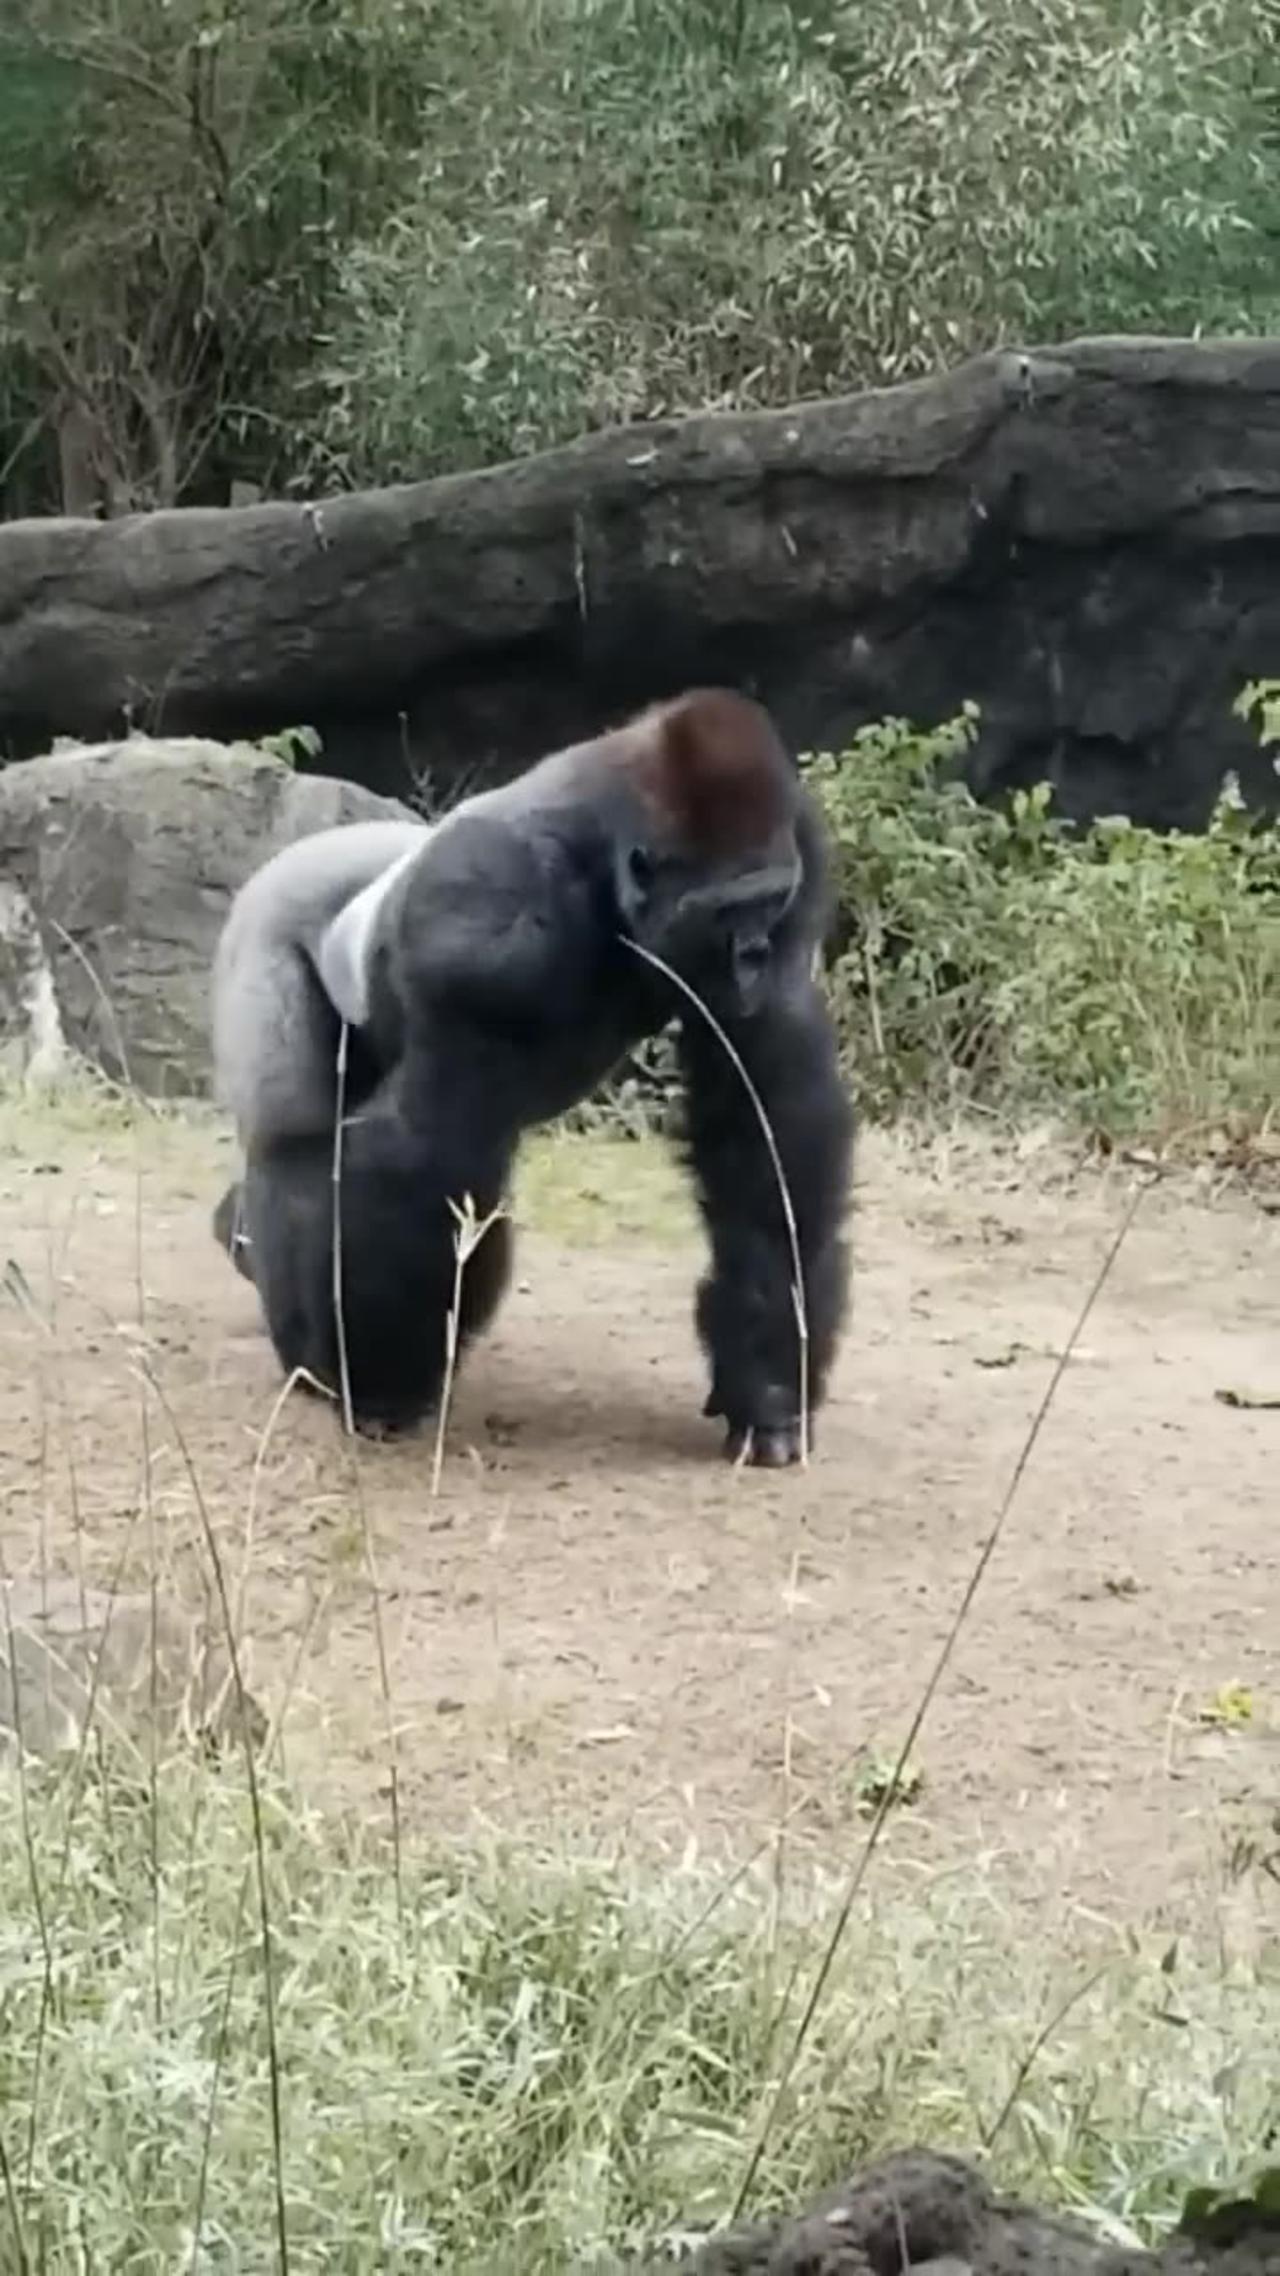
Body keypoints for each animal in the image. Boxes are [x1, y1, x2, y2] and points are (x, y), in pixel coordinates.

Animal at [209, 689, 855, 1467]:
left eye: (770, 902)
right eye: (725, 912)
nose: (754, 957)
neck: (607, 864)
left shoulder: (801, 859)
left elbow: (768, 1123)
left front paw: (768, 1389)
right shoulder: (487, 910)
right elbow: (431, 1157)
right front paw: (383, 1384)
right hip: (265, 923)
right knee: (297, 1143)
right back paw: (302, 1343)